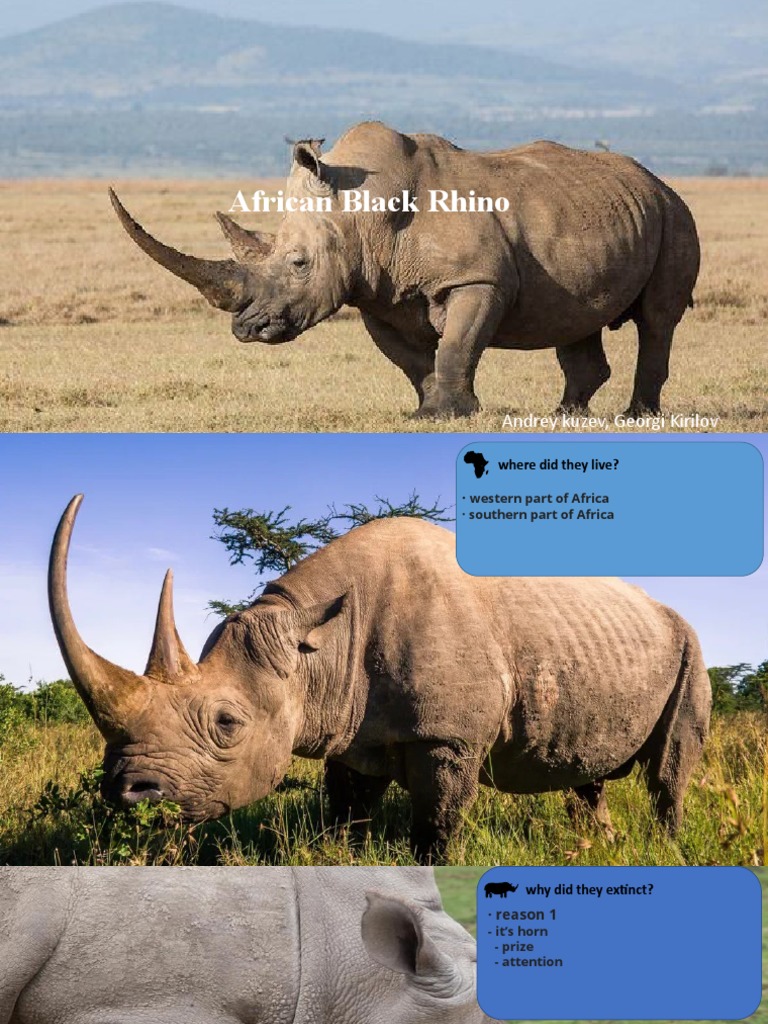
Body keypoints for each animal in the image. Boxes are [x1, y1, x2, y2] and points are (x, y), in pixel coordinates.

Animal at [49, 495, 711, 862]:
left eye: (228, 723)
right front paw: (338, 857)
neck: (316, 647)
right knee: (587, 771)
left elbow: (437, 822)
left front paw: (434, 871)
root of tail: (663, 608)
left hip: (690, 645)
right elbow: (344, 813)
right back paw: (604, 846)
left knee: (669, 767)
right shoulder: (350, 729)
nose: (127, 794)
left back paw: (664, 849)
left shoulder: (448, 736)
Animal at [109, 121, 700, 418]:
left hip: (673, 212)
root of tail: (654, 179)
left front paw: (450, 415)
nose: (246, 329)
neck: (358, 211)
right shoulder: (376, 293)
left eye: (298, 263)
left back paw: (637, 417)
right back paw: (566, 416)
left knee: (657, 320)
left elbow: (457, 346)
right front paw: (427, 412)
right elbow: (414, 362)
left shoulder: (477, 279)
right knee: (576, 314)